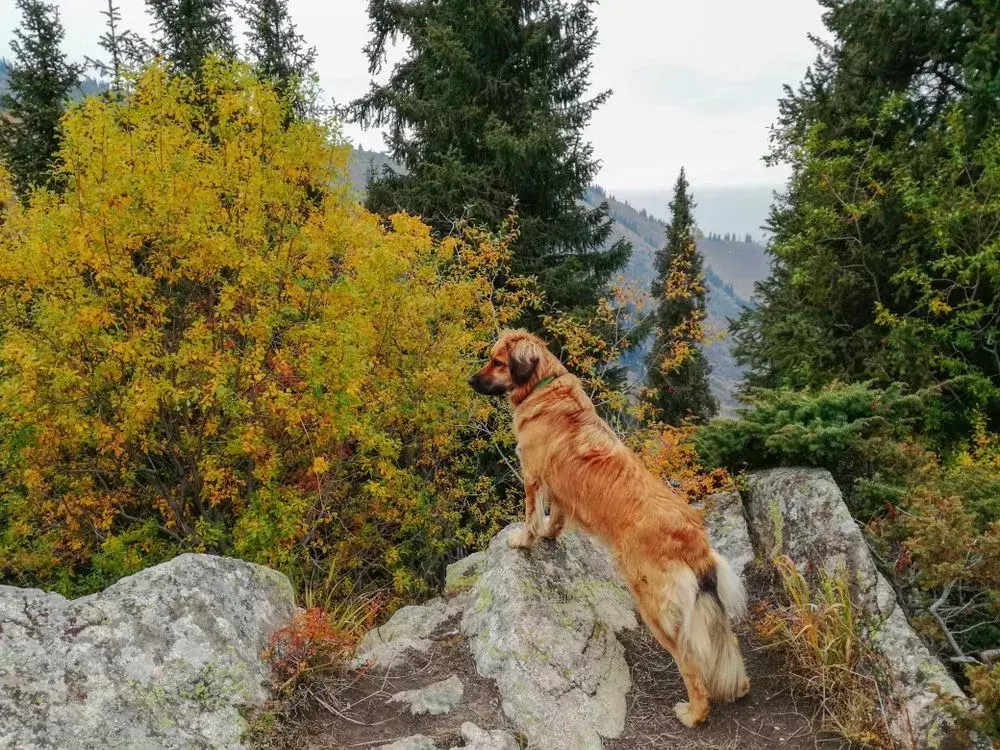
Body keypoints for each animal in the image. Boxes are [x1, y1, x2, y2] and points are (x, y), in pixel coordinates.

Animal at [468, 328, 752, 728]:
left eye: (497, 362)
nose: (469, 380)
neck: (544, 387)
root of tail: (693, 536)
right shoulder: (560, 488)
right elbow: (556, 516)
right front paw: (550, 534)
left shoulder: (533, 476)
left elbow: (531, 515)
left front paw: (524, 539)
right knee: (728, 642)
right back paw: (739, 687)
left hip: (654, 606)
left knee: (689, 660)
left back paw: (694, 713)